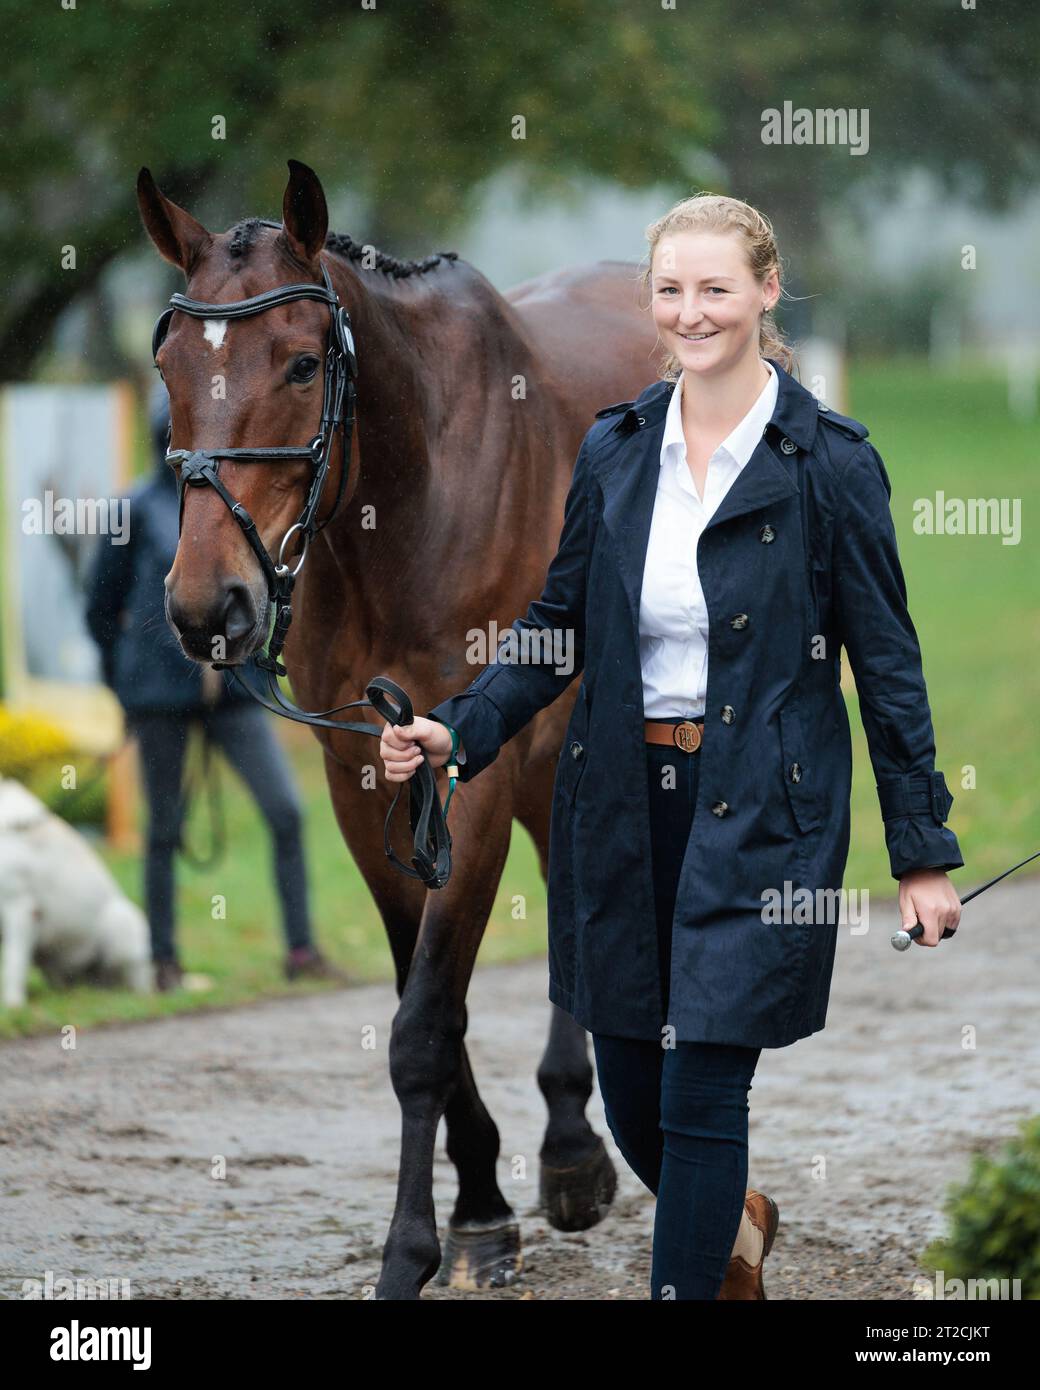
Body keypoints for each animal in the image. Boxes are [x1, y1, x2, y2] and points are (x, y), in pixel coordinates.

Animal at [137, 159, 658, 1299]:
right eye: (165, 366)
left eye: (300, 365)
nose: (206, 607)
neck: (409, 496)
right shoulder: (361, 774)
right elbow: (420, 992)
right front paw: (481, 1207)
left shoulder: (472, 775)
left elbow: (424, 1024)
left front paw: (413, 1244)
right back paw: (569, 1149)